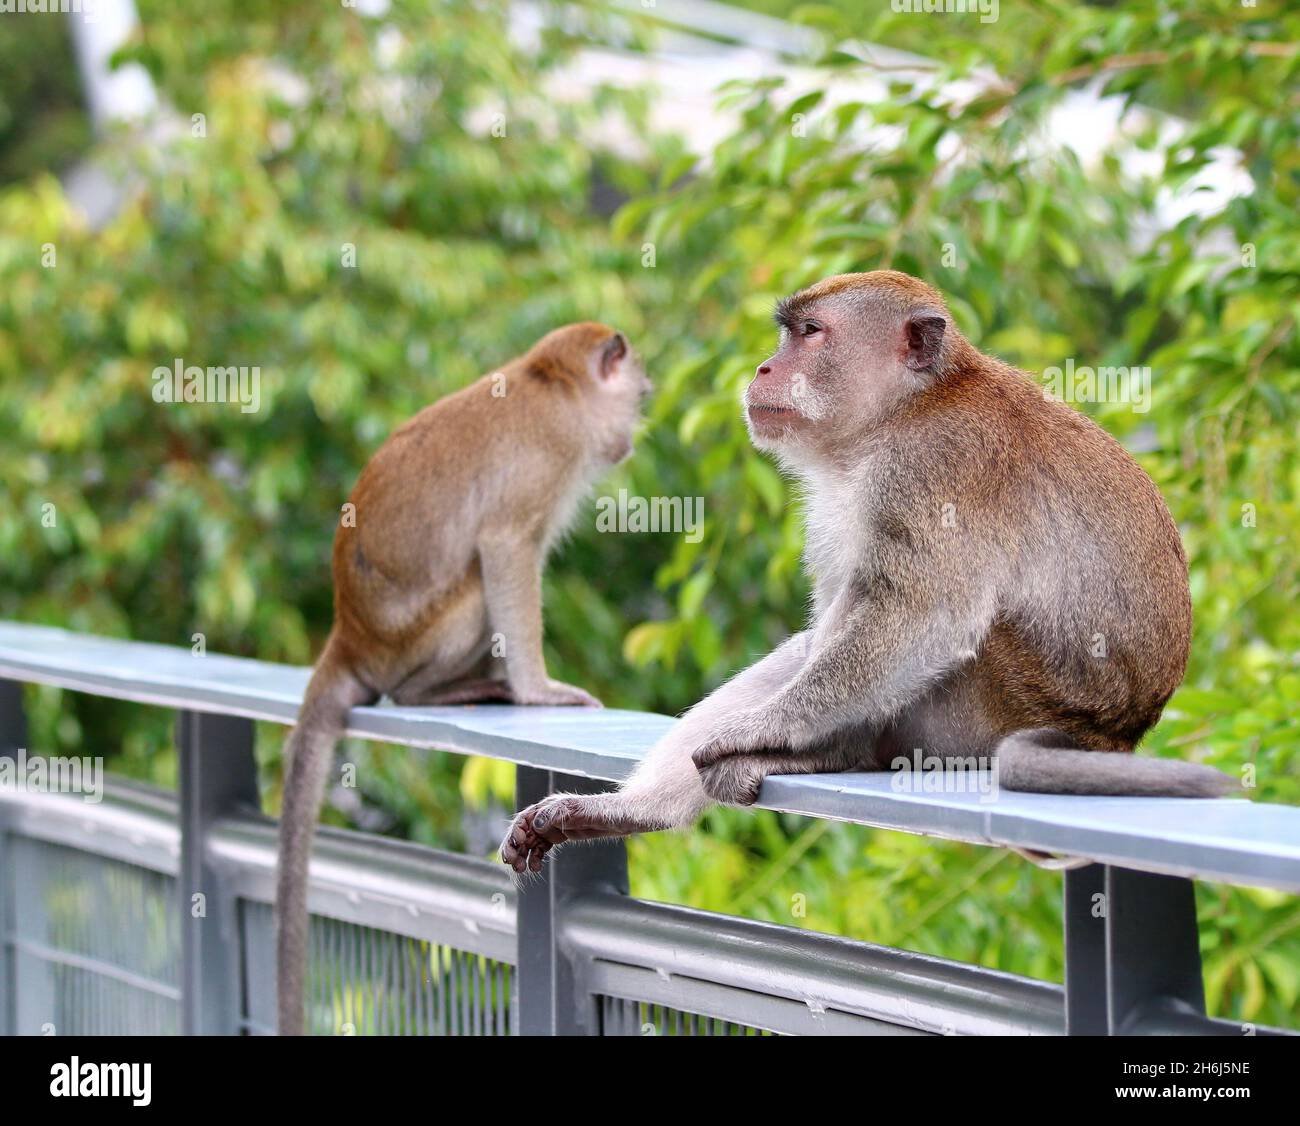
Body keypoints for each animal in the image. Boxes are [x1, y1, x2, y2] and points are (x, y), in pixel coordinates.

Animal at [276, 322, 650, 1034]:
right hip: (413, 638)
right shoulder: (549, 457)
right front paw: (539, 691)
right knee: (475, 585)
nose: (630, 439)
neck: (550, 383)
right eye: (640, 397)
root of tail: (348, 633)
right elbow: (505, 551)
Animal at [501, 270, 1237, 876]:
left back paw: (832, 749)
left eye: (810, 334)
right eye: (788, 333)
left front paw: (762, 734)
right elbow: (832, 623)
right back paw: (633, 811)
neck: (903, 411)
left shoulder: (933, 467)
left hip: (994, 707)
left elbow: (921, 613)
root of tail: (1114, 734)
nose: (765, 366)